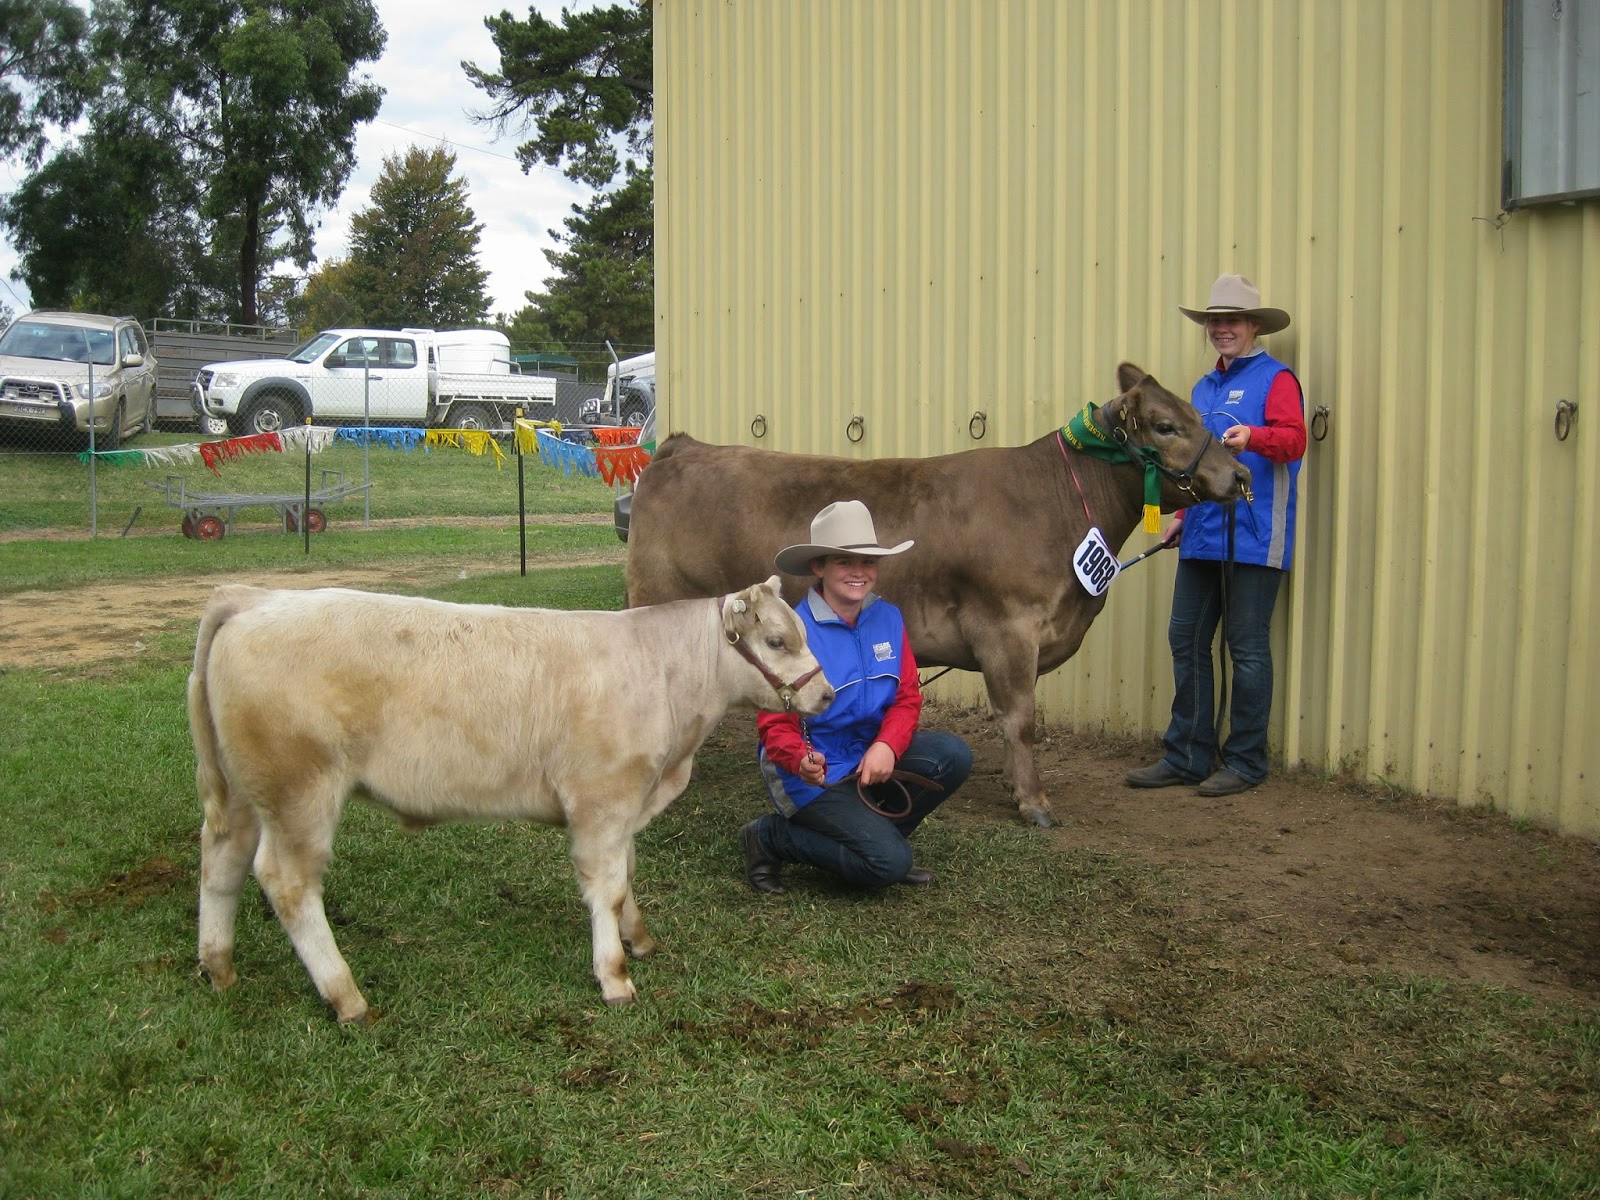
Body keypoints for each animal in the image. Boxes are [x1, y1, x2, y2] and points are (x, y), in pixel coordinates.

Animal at [189, 577, 833, 1022]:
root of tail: (255, 597)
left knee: (221, 862)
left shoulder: (625, 806)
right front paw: (614, 976)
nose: (826, 695)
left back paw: (219, 968)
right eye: (777, 640)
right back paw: (346, 995)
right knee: (287, 884)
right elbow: (606, 886)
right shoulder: (601, 801)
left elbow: (626, 873)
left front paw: (639, 937)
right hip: (300, 793)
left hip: (245, 793)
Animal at [625, 363, 1251, 828]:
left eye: (1198, 415)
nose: (1241, 475)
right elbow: (1020, 718)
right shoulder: (1009, 630)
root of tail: (682, 446)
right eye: (1166, 426)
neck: (1054, 503)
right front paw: (1034, 803)